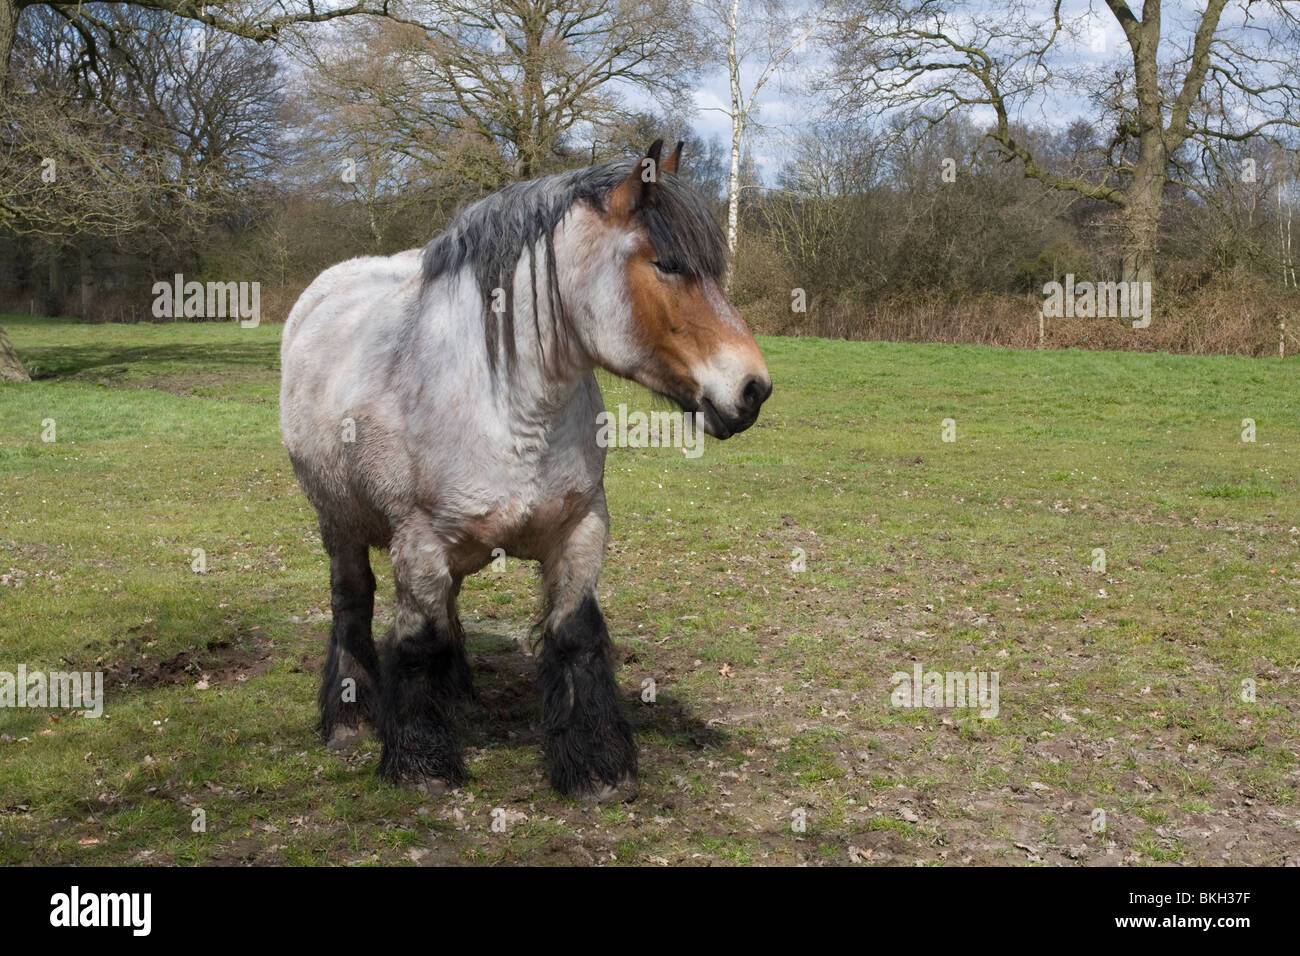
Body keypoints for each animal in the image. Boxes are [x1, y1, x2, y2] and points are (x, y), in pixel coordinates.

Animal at [282, 140, 769, 801]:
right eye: (667, 264)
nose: (753, 389)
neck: (510, 409)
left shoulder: (580, 529)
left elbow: (574, 633)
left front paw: (595, 765)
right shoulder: (419, 541)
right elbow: (416, 640)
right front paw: (422, 762)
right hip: (339, 523)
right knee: (352, 603)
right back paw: (350, 719)